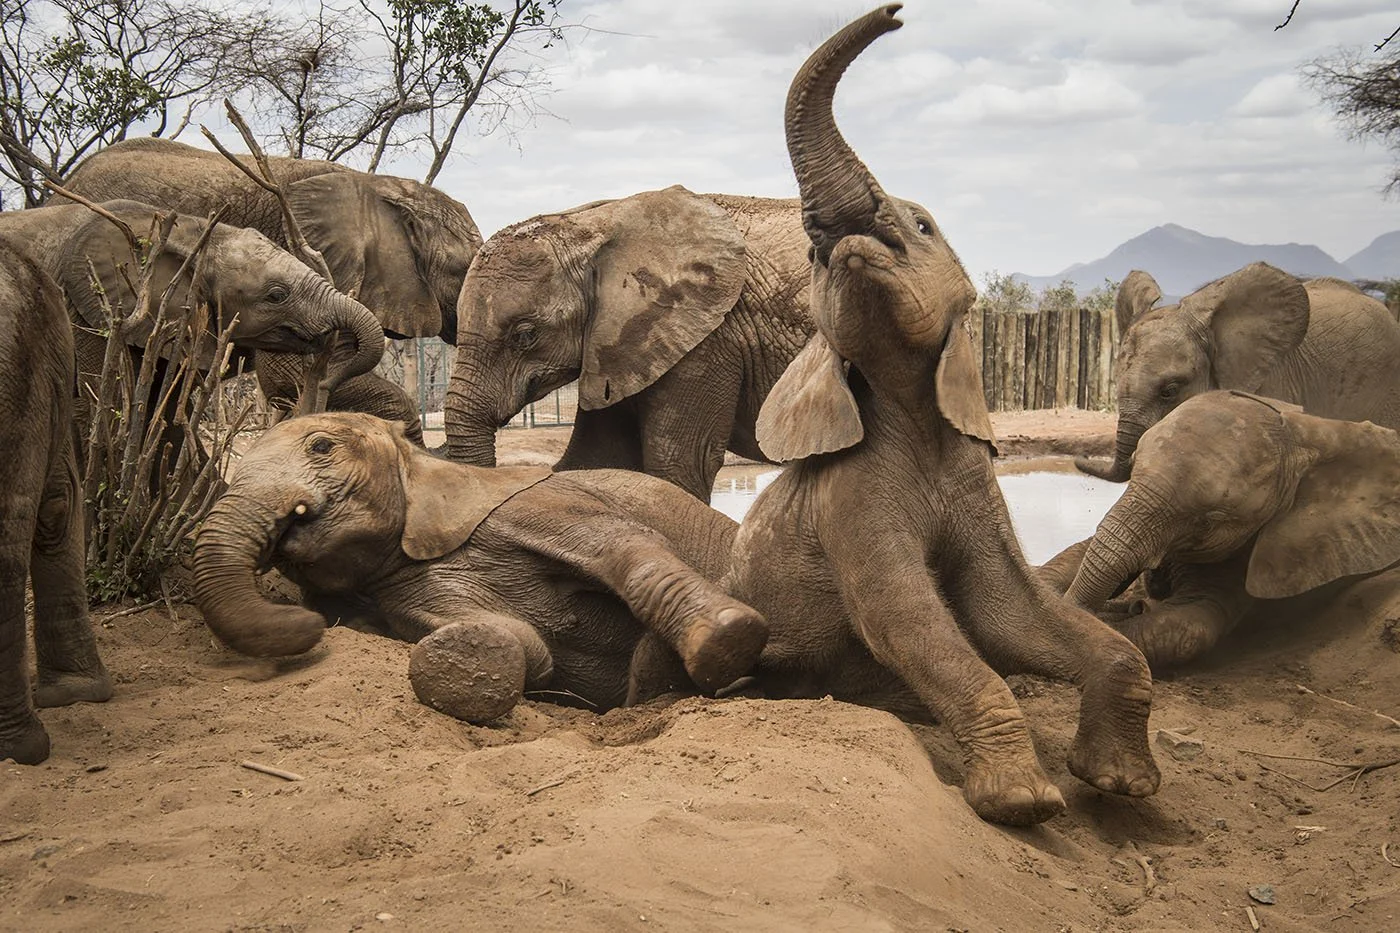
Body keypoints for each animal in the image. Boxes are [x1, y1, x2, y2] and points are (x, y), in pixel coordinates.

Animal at [0, 200, 385, 447]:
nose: (326, 382)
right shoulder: (91, 308)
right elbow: (106, 409)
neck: (191, 232)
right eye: (276, 296)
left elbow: (166, 414)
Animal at [191, 412, 769, 719]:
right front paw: (468, 651)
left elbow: (626, 544)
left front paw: (726, 641)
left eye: (321, 446)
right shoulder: (405, 592)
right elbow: (526, 646)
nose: (309, 621)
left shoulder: (537, 505)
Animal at [442, 185, 812, 501]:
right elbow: (596, 458)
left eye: (525, 335)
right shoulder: (616, 345)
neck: (591, 224)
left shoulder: (707, 340)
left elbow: (678, 465)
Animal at [720, 4, 1159, 827]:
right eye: (812, 255)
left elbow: (1005, 610)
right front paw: (1025, 803)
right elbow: (907, 617)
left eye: (923, 226)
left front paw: (1123, 784)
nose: (896, 16)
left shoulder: (973, 476)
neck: (911, 410)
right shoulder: (847, 500)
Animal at [1047, 389, 1400, 669]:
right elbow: (1075, 555)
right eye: (1133, 469)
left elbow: (1191, 626)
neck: (1298, 434)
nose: (1136, 600)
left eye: (1210, 520)